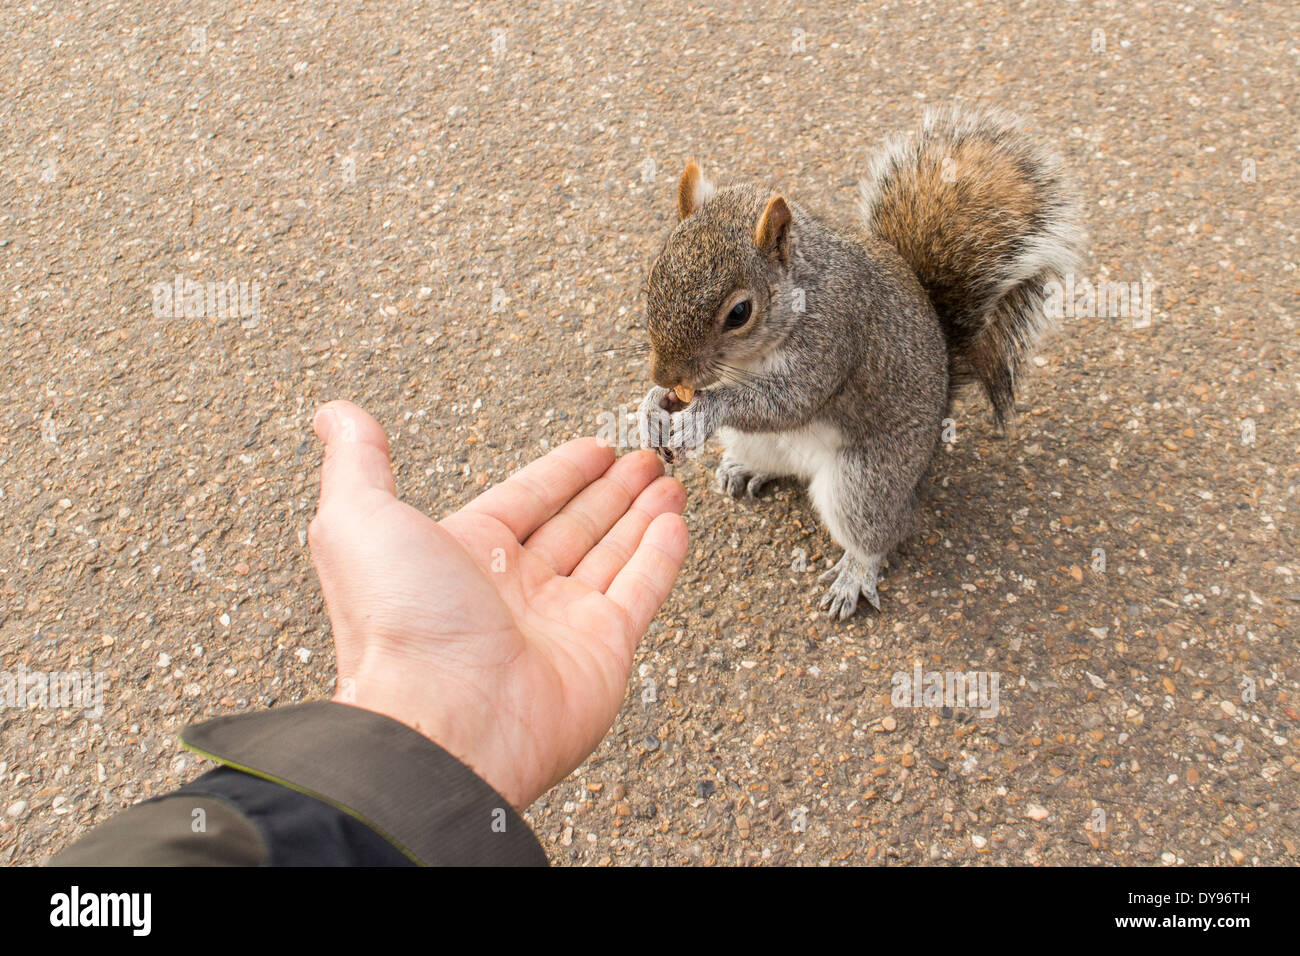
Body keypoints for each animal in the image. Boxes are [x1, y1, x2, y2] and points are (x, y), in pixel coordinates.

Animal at [636, 106, 1085, 618]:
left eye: (739, 312)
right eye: (653, 275)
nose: (664, 373)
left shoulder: (835, 337)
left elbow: (787, 402)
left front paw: (703, 412)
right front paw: (651, 405)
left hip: (868, 480)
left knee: (882, 531)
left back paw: (854, 574)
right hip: (763, 445)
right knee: (778, 463)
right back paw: (745, 469)